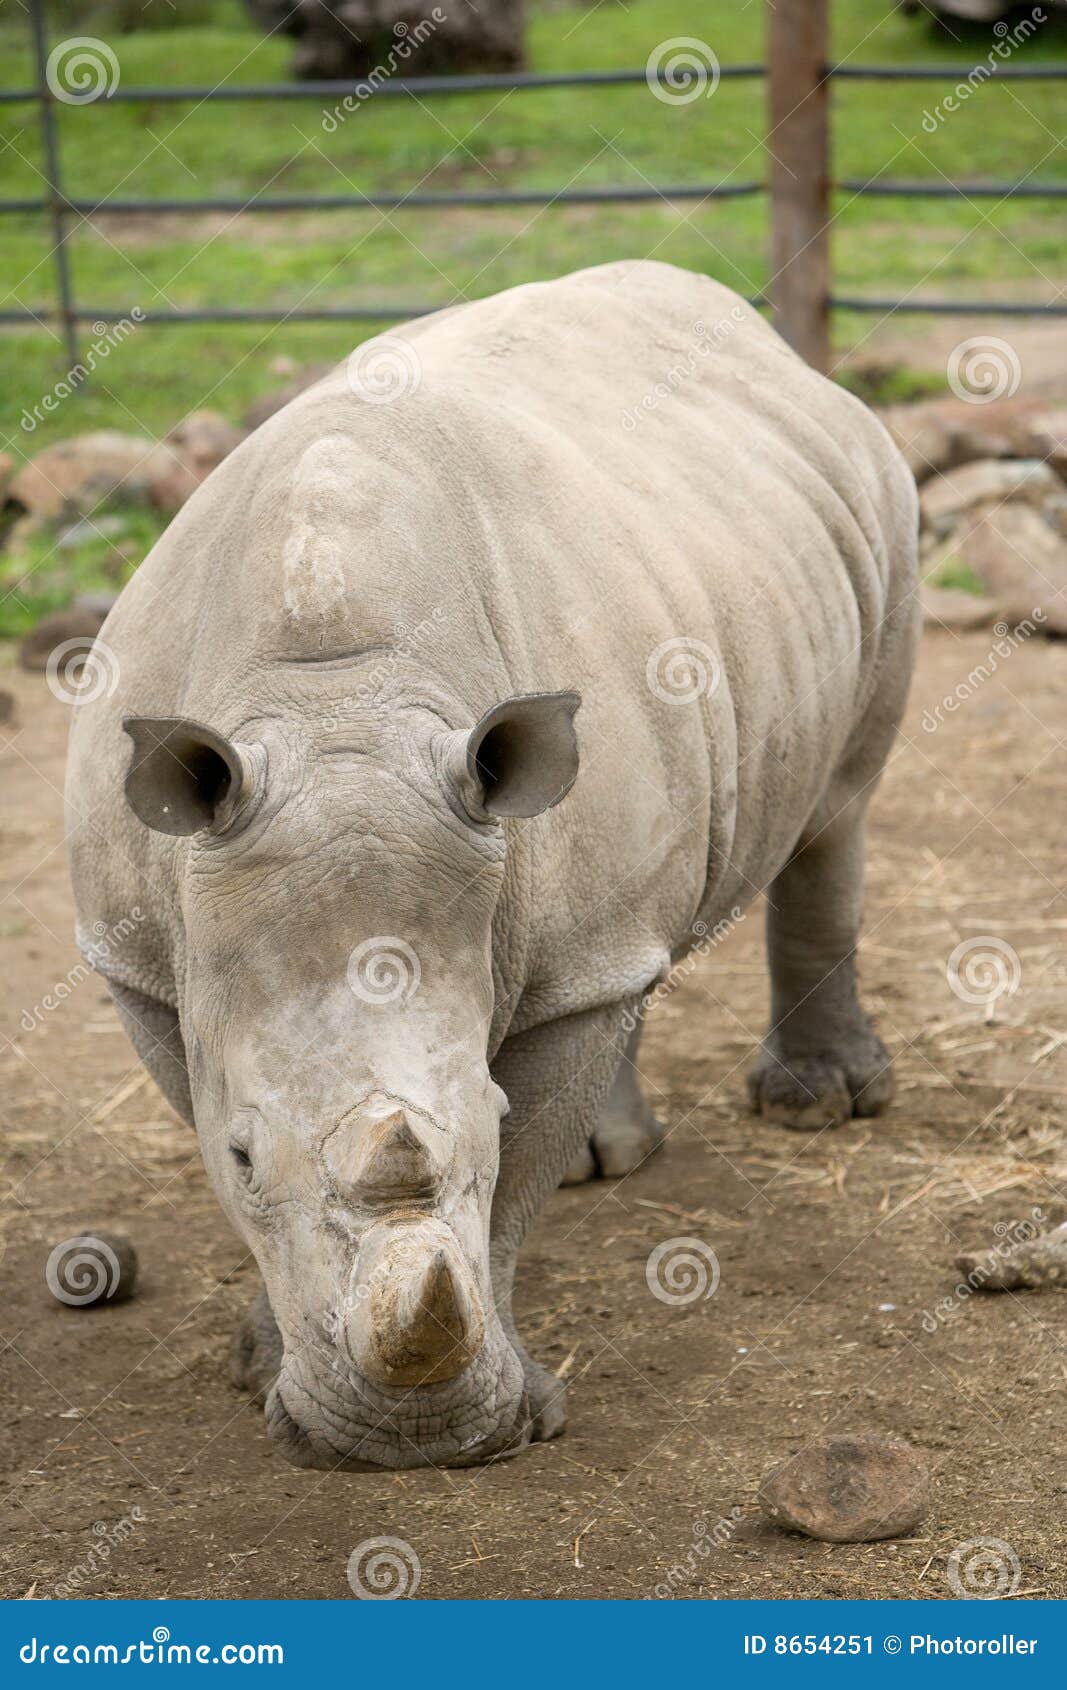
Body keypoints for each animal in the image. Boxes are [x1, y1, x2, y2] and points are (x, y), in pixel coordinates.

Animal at [66, 261, 918, 1472]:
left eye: (489, 1120)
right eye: (240, 1156)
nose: (400, 1448)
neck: (337, 709)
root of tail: (771, 350)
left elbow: (511, 1183)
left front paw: (508, 1417)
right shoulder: (137, 957)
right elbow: (212, 1114)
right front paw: (264, 1363)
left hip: (876, 496)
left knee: (831, 809)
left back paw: (814, 1108)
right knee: (614, 953)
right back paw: (610, 1159)